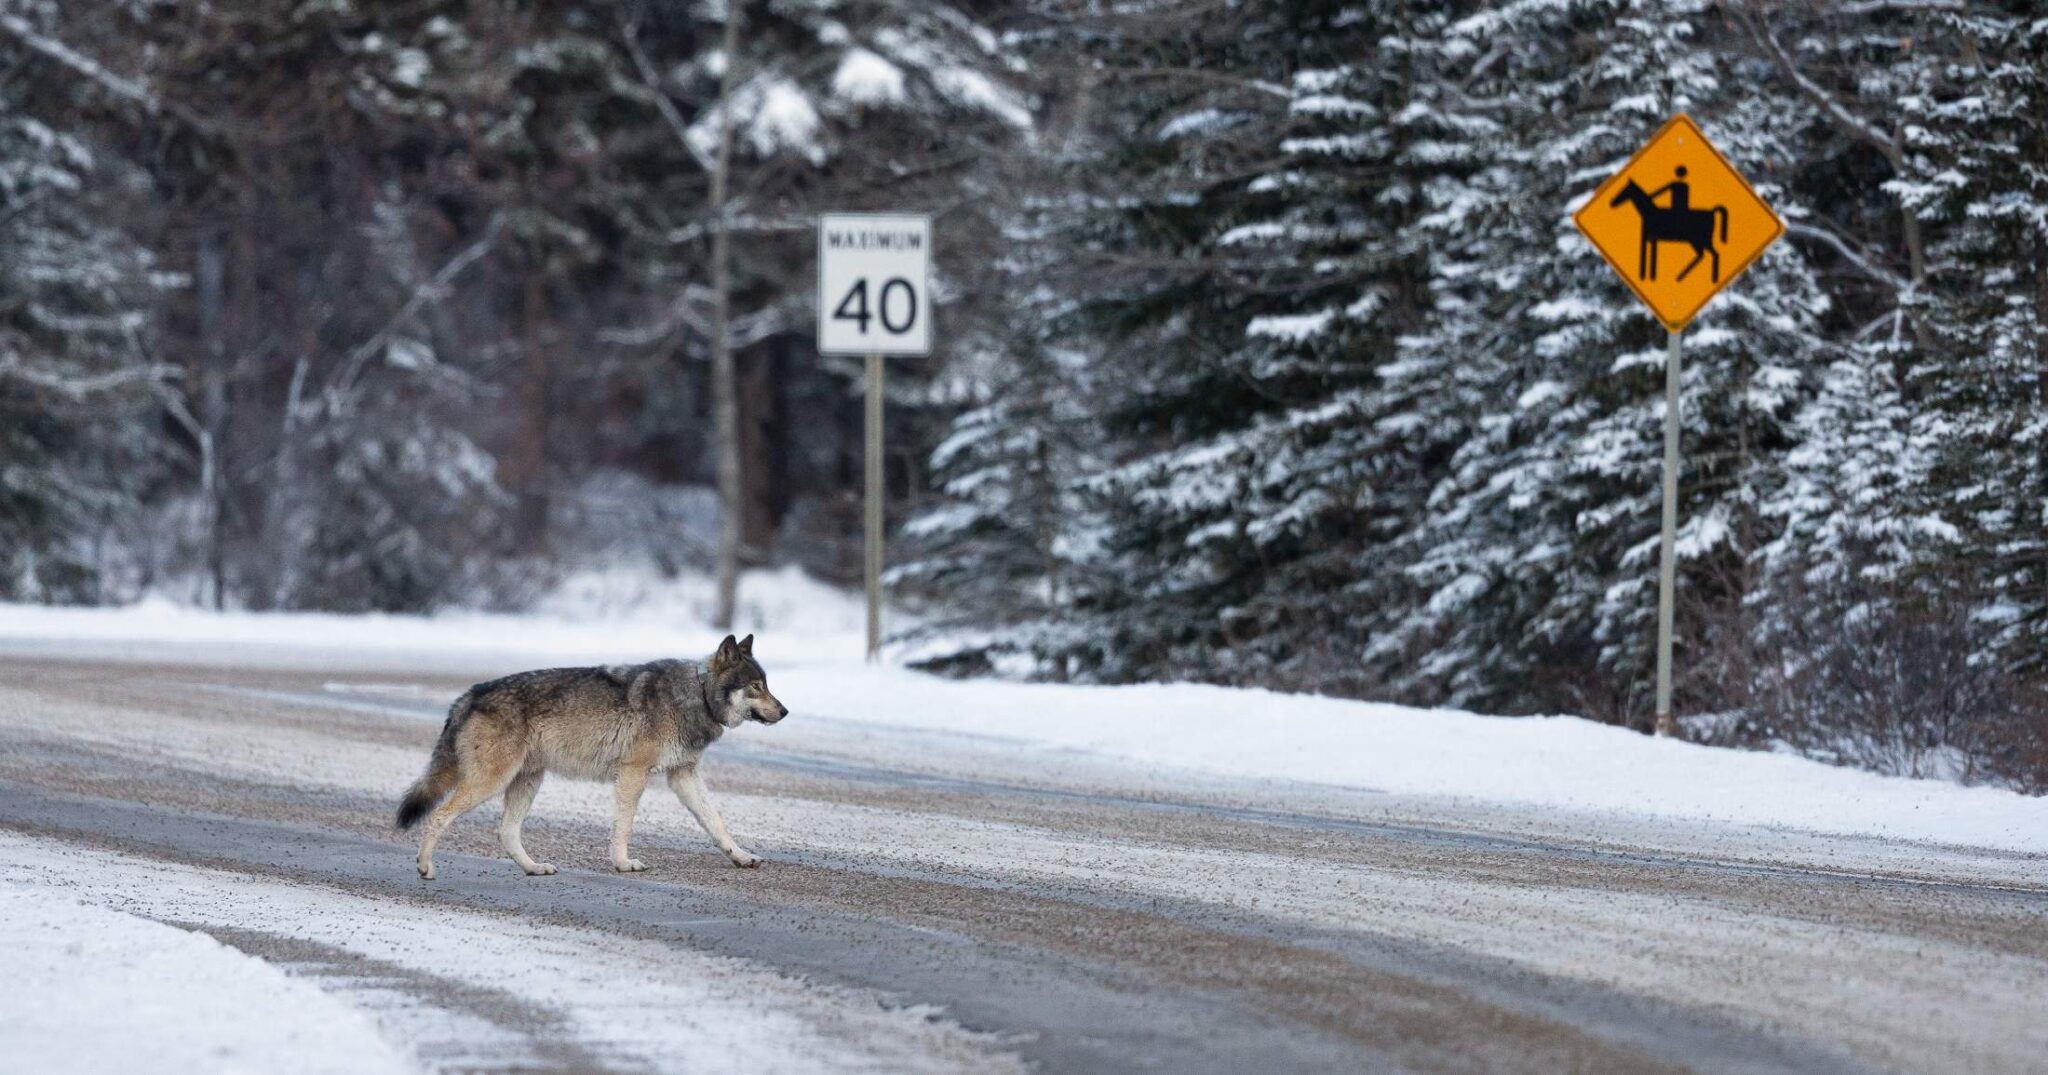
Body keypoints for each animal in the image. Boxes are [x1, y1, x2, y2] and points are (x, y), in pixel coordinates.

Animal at [396, 633, 788, 879]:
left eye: (767, 685)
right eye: (756, 687)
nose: (784, 711)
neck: (698, 694)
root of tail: (469, 694)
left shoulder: (683, 775)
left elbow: (716, 822)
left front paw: (741, 856)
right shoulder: (633, 773)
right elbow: (624, 826)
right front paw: (623, 863)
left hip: (527, 781)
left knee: (505, 832)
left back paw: (533, 868)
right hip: (490, 782)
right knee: (439, 815)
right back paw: (425, 868)